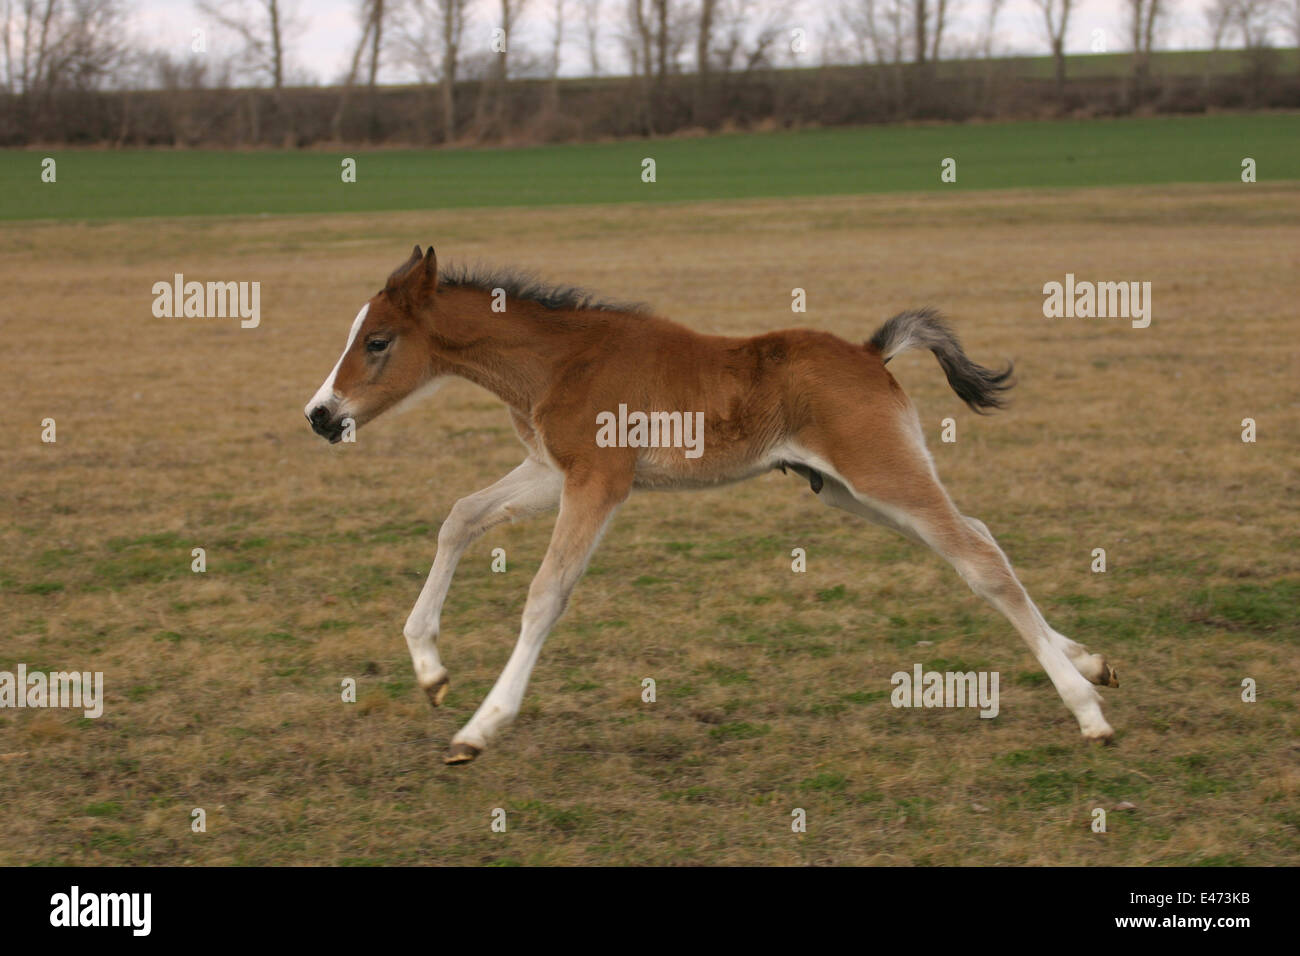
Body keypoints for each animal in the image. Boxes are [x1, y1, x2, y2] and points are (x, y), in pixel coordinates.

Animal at [304, 246, 1119, 764]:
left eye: (378, 341)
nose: (320, 415)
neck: (559, 360)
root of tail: (869, 353)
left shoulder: (599, 480)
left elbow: (545, 593)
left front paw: (479, 729)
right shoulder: (551, 471)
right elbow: (461, 517)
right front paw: (429, 670)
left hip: (880, 473)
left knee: (978, 556)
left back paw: (1088, 711)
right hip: (852, 491)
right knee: (972, 539)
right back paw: (1092, 662)